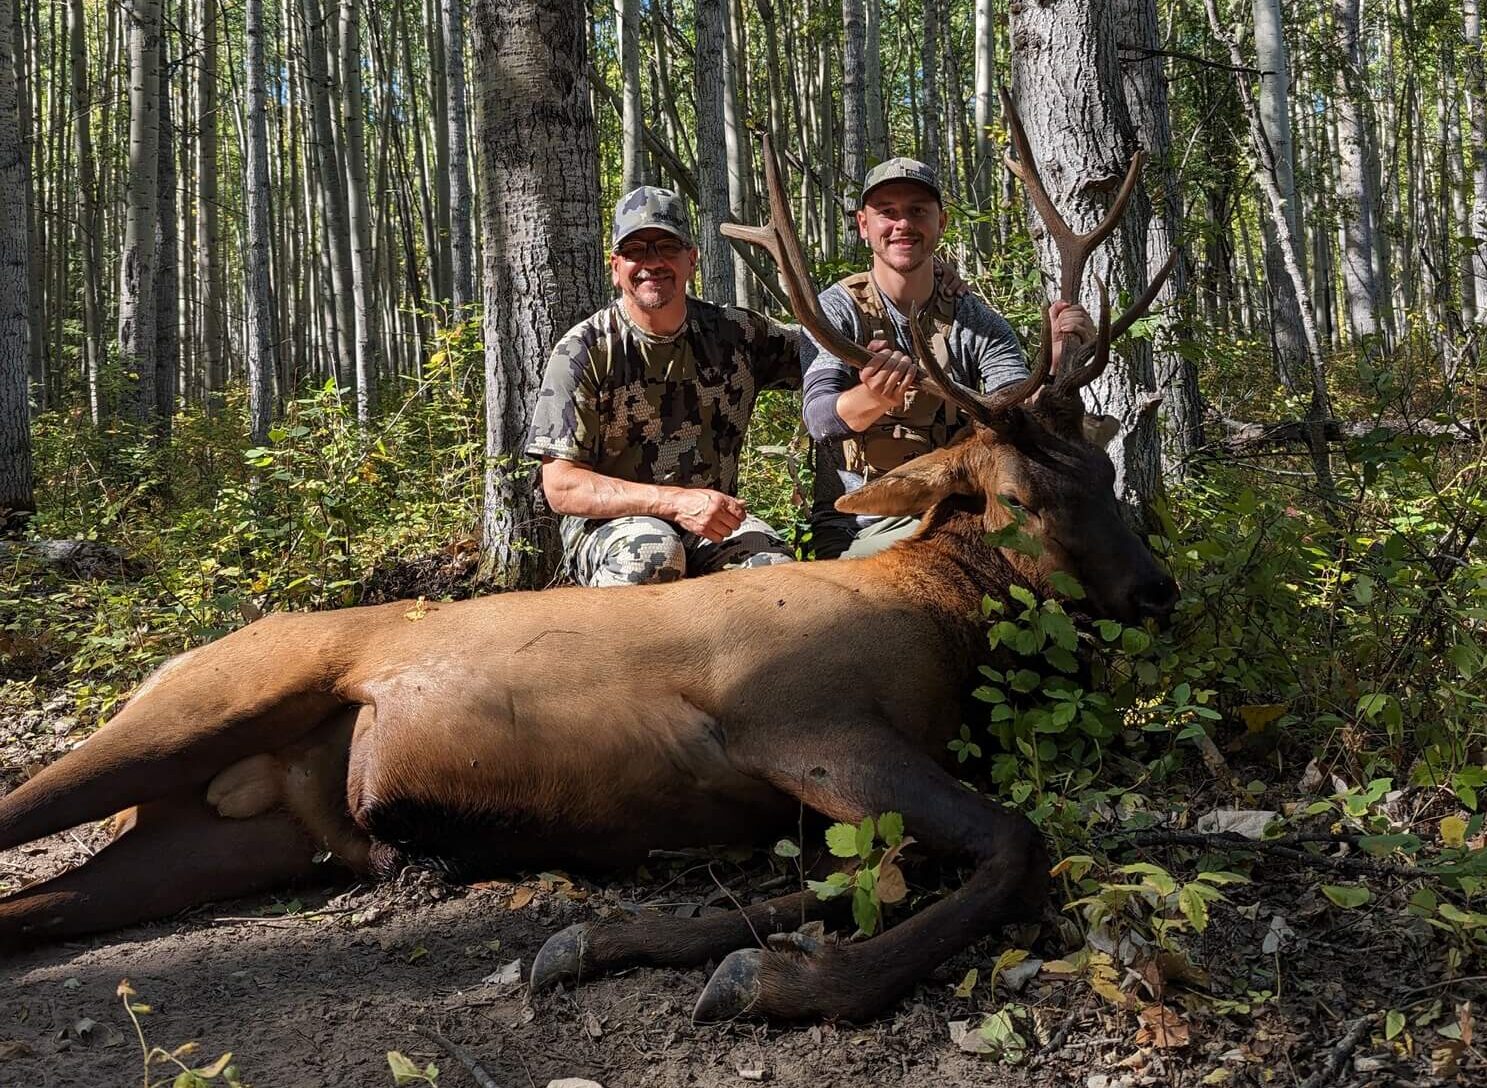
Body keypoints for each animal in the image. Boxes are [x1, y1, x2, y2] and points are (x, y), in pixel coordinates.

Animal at [0, 96, 1177, 1023]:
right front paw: (772, 979)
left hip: (227, 839)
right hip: (207, 700)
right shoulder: (799, 717)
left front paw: (600, 943)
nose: (1155, 590)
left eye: (1105, 469)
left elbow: (883, 869)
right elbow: (1007, 845)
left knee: (35, 902)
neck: (938, 623)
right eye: (1019, 495)